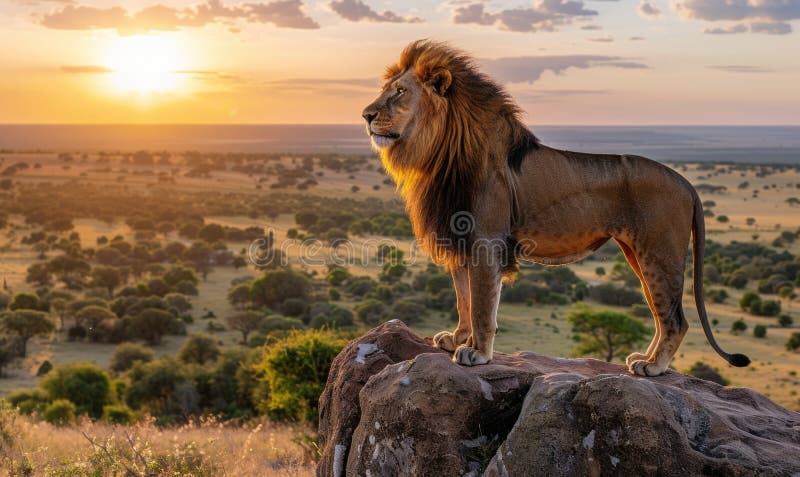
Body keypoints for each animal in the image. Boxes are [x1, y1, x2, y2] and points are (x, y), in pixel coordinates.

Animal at [361, 40, 750, 376]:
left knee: (675, 317)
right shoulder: (459, 237)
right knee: (660, 311)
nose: (365, 114)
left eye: (399, 92)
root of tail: (686, 183)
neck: (439, 152)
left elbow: (483, 304)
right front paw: (457, 338)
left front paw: (477, 353)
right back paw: (645, 358)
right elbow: (464, 299)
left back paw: (654, 367)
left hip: (659, 252)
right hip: (638, 254)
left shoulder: (487, 239)